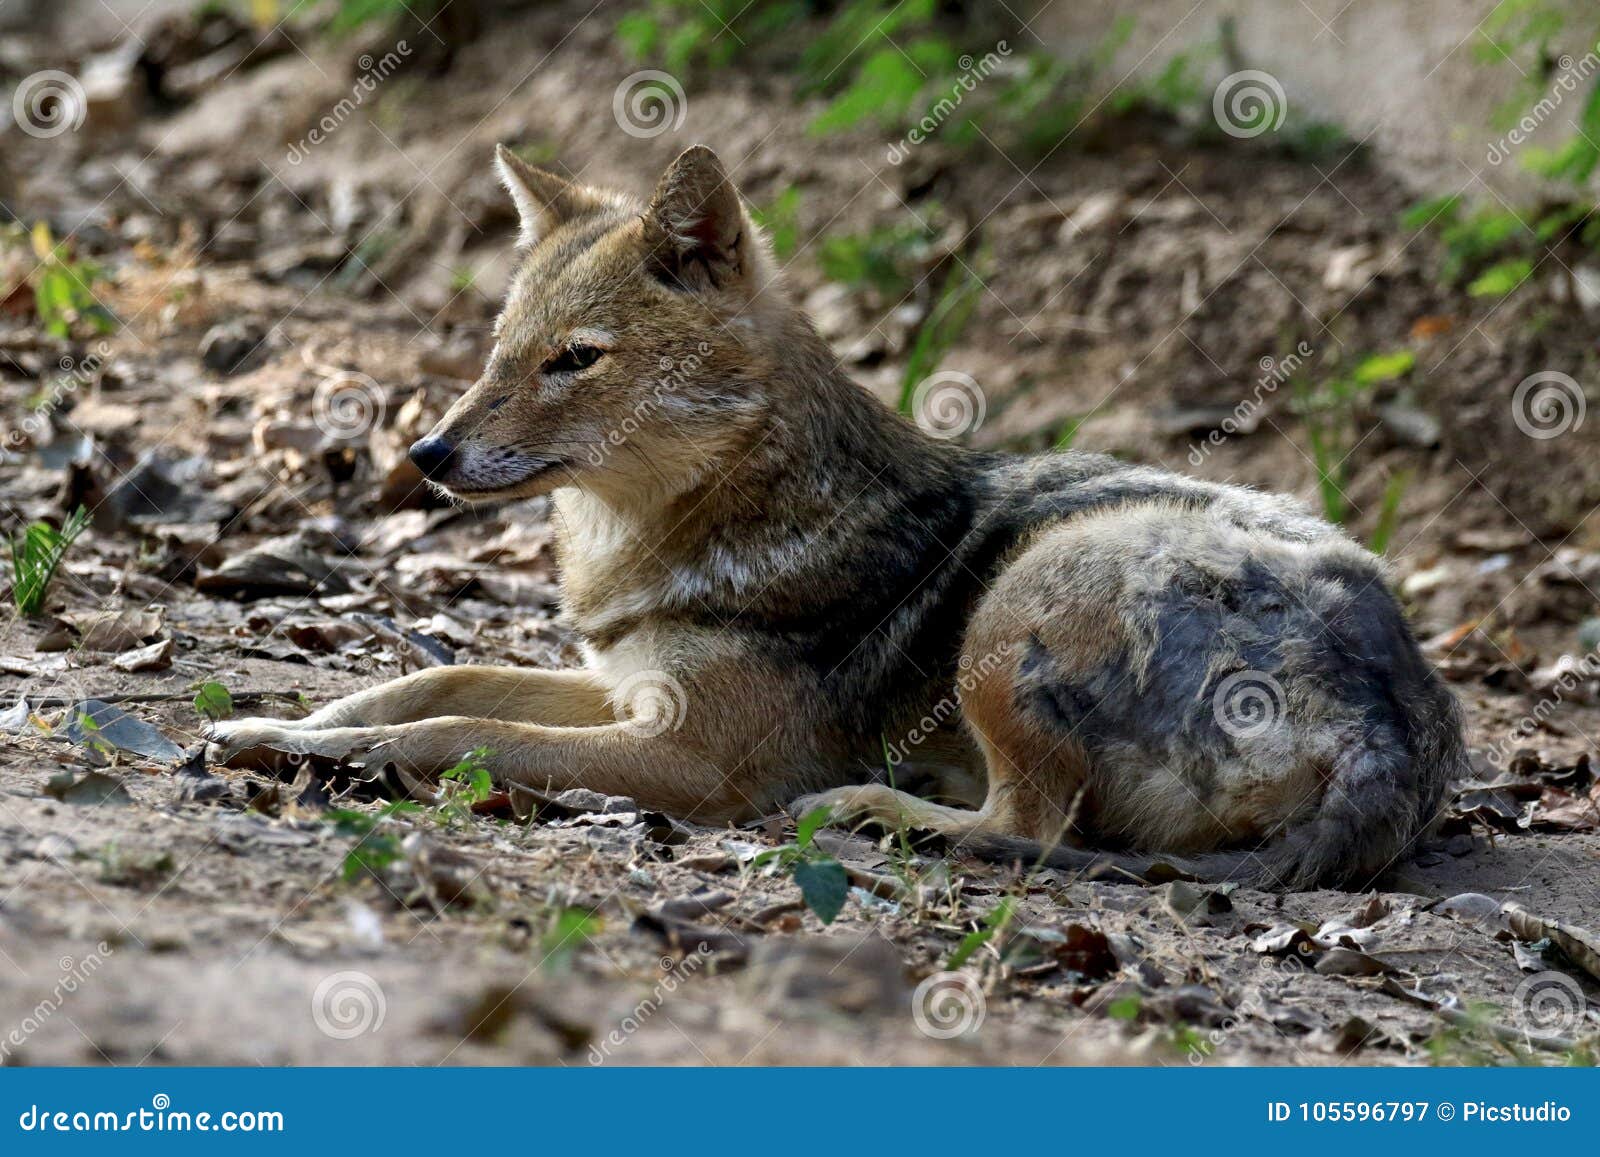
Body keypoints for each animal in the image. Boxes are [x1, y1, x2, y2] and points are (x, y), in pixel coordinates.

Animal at [210, 143, 1465, 891]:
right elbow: (433, 681)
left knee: (1031, 828)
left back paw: (869, 807)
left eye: (575, 360)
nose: (425, 454)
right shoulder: (623, 686)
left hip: (1027, 590)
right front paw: (285, 723)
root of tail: (1401, 716)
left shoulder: (688, 754)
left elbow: (452, 730)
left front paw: (327, 755)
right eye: (498, 354)